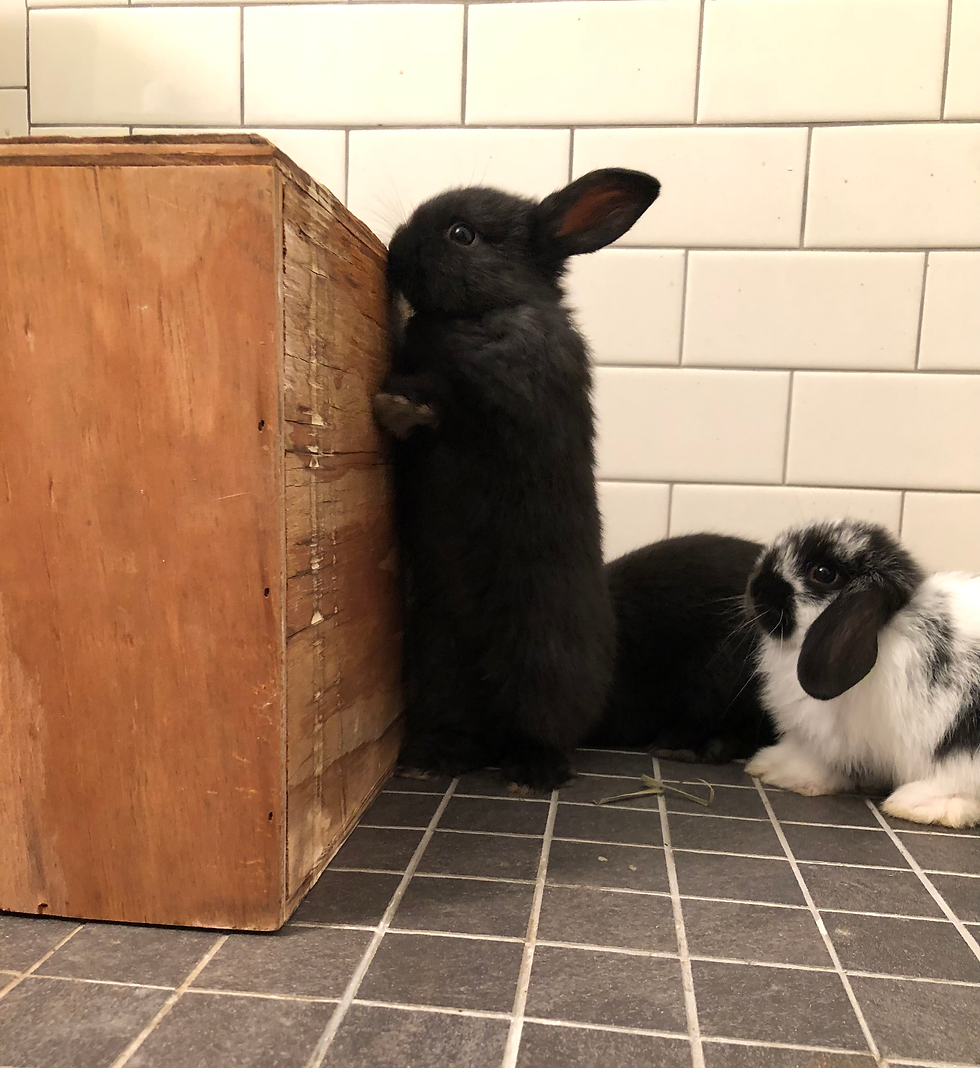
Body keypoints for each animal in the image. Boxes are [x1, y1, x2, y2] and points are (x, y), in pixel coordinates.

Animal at [372, 168, 661, 792]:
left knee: (541, 726)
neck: (487, 309)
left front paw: (401, 403)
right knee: (462, 724)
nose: (395, 248)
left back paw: (530, 772)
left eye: (462, 234)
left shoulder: (508, 397)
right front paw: (394, 404)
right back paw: (436, 759)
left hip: (542, 662)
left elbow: (451, 398)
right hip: (440, 660)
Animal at [745, 518, 980, 828]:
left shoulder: (959, 734)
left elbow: (957, 775)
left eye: (823, 573)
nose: (755, 587)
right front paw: (770, 765)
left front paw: (924, 805)